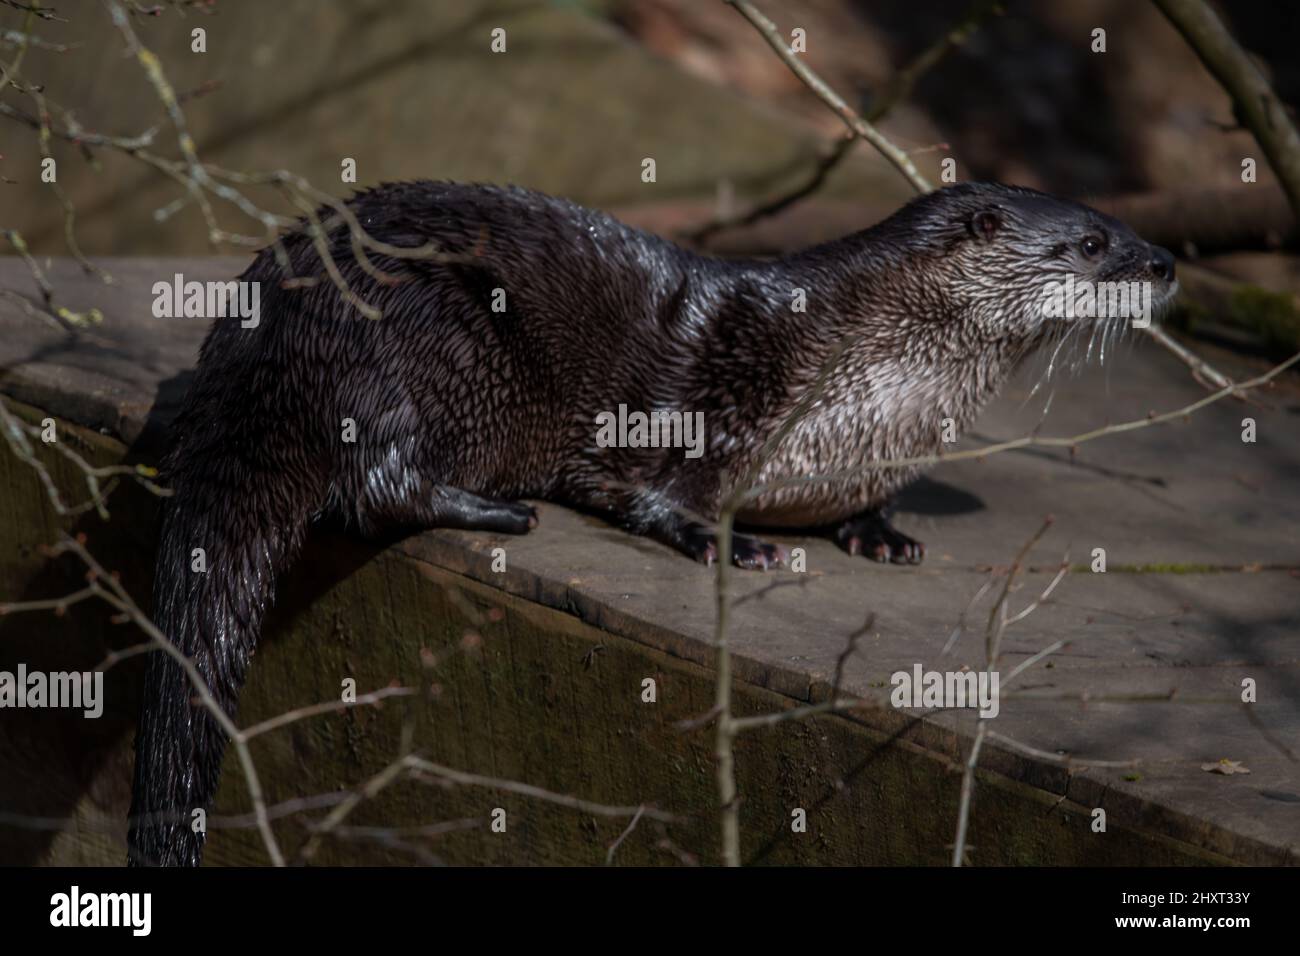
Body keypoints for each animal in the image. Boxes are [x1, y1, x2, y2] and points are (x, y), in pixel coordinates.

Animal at [128, 181, 1176, 864]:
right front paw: (729, 538)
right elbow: (659, 487)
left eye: (1128, 224)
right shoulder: (709, 399)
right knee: (372, 483)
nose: (1168, 261)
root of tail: (261, 344)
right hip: (425, 324)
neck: (874, 401)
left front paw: (883, 531)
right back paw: (499, 505)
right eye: (1092, 243)